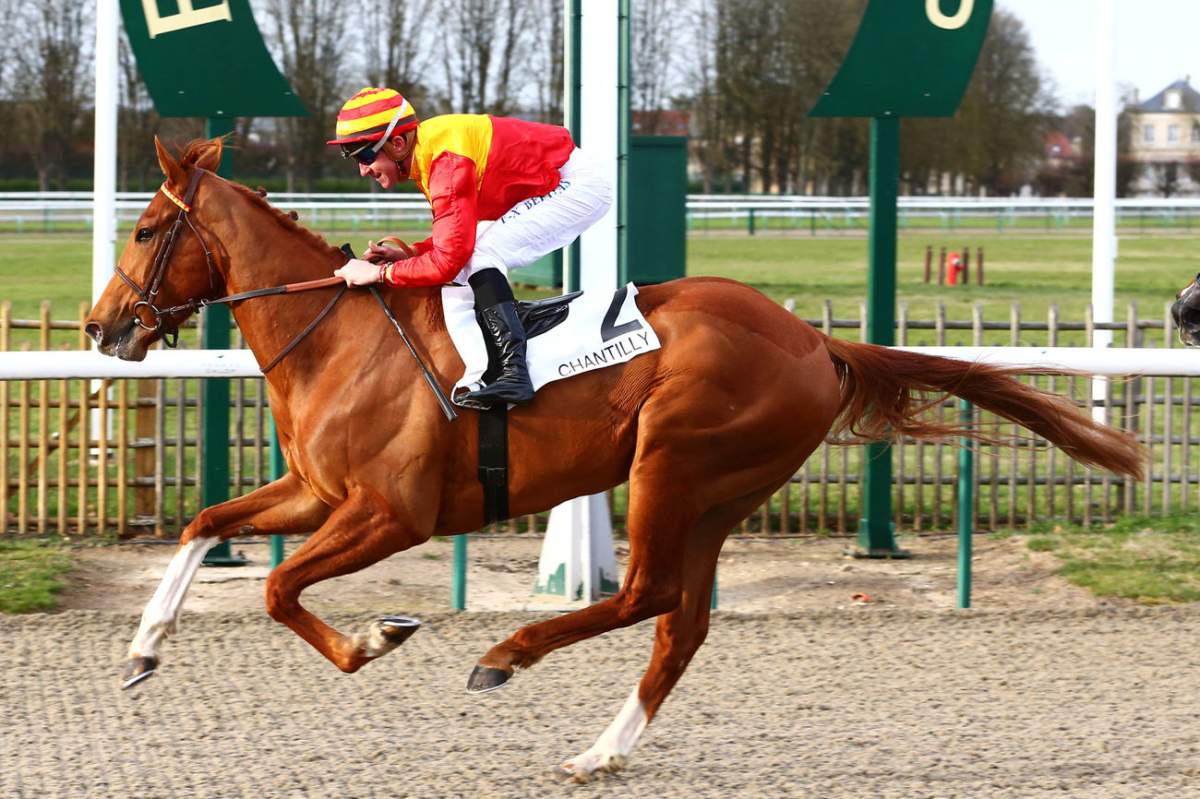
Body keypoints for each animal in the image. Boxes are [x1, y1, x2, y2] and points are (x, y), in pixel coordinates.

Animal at [85, 137, 1145, 781]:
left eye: (145, 228)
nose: (101, 327)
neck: (338, 335)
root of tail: (813, 339)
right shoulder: (316, 492)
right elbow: (203, 526)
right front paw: (142, 648)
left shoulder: (390, 512)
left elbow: (276, 590)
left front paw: (376, 637)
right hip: (716, 493)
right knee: (680, 623)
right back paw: (600, 748)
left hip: (674, 463)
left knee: (647, 595)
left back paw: (506, 656)